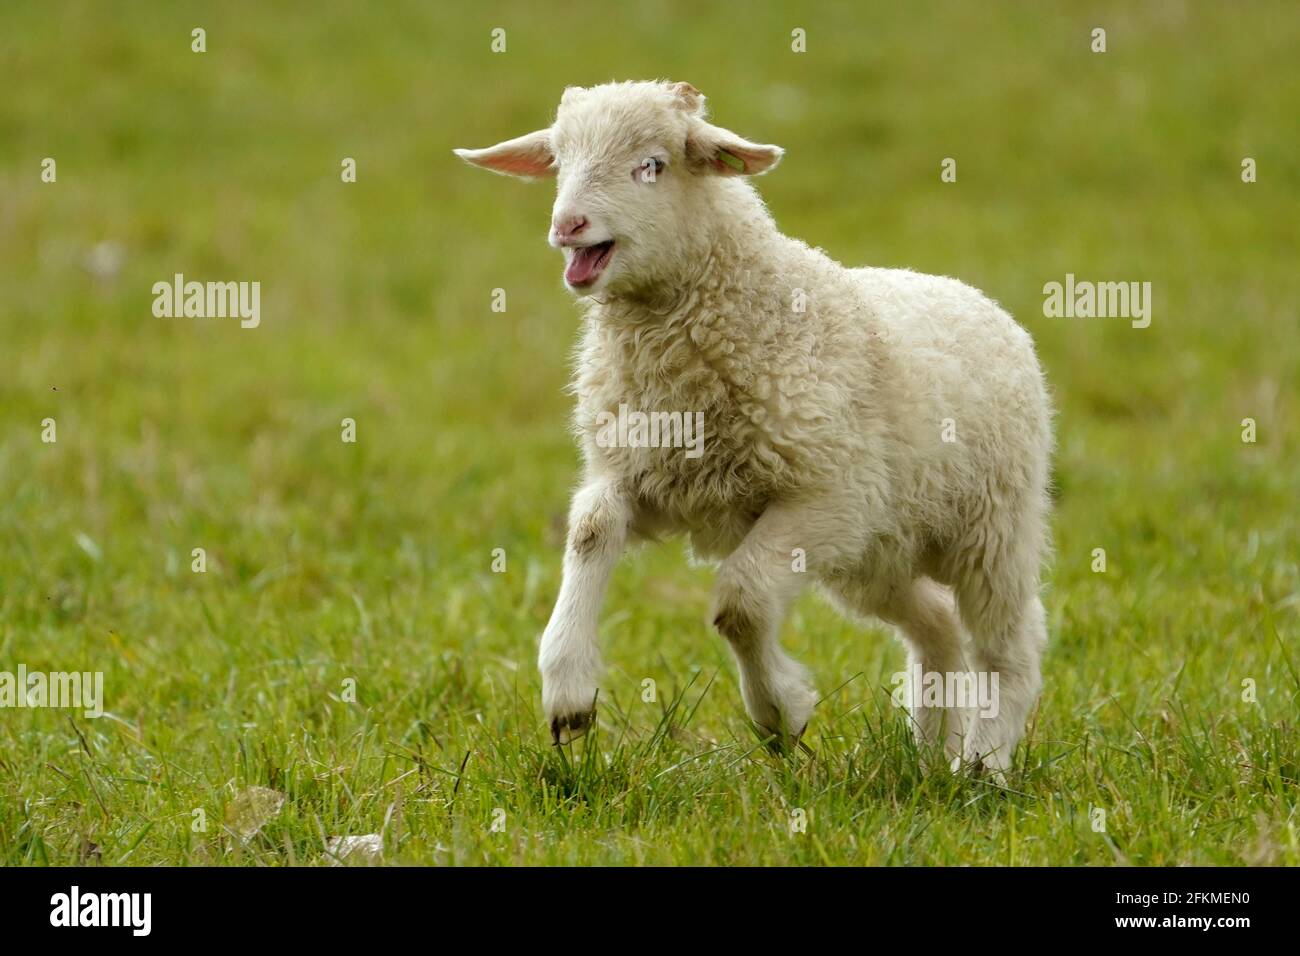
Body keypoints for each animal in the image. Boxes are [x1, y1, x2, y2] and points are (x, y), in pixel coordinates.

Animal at [455, 80, 1053, 774]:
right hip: (878, 548)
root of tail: (976, 298)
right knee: (937, 625)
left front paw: (781, 713)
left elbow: (740, 603)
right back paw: (933, 750)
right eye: (560, 160)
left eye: (652, 165)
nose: (567, 227)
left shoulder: (831, 495)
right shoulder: (644, 469)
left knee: (1009, 642)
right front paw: (568, 693)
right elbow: (592, 530)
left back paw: (984, 762)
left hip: (990, 522)